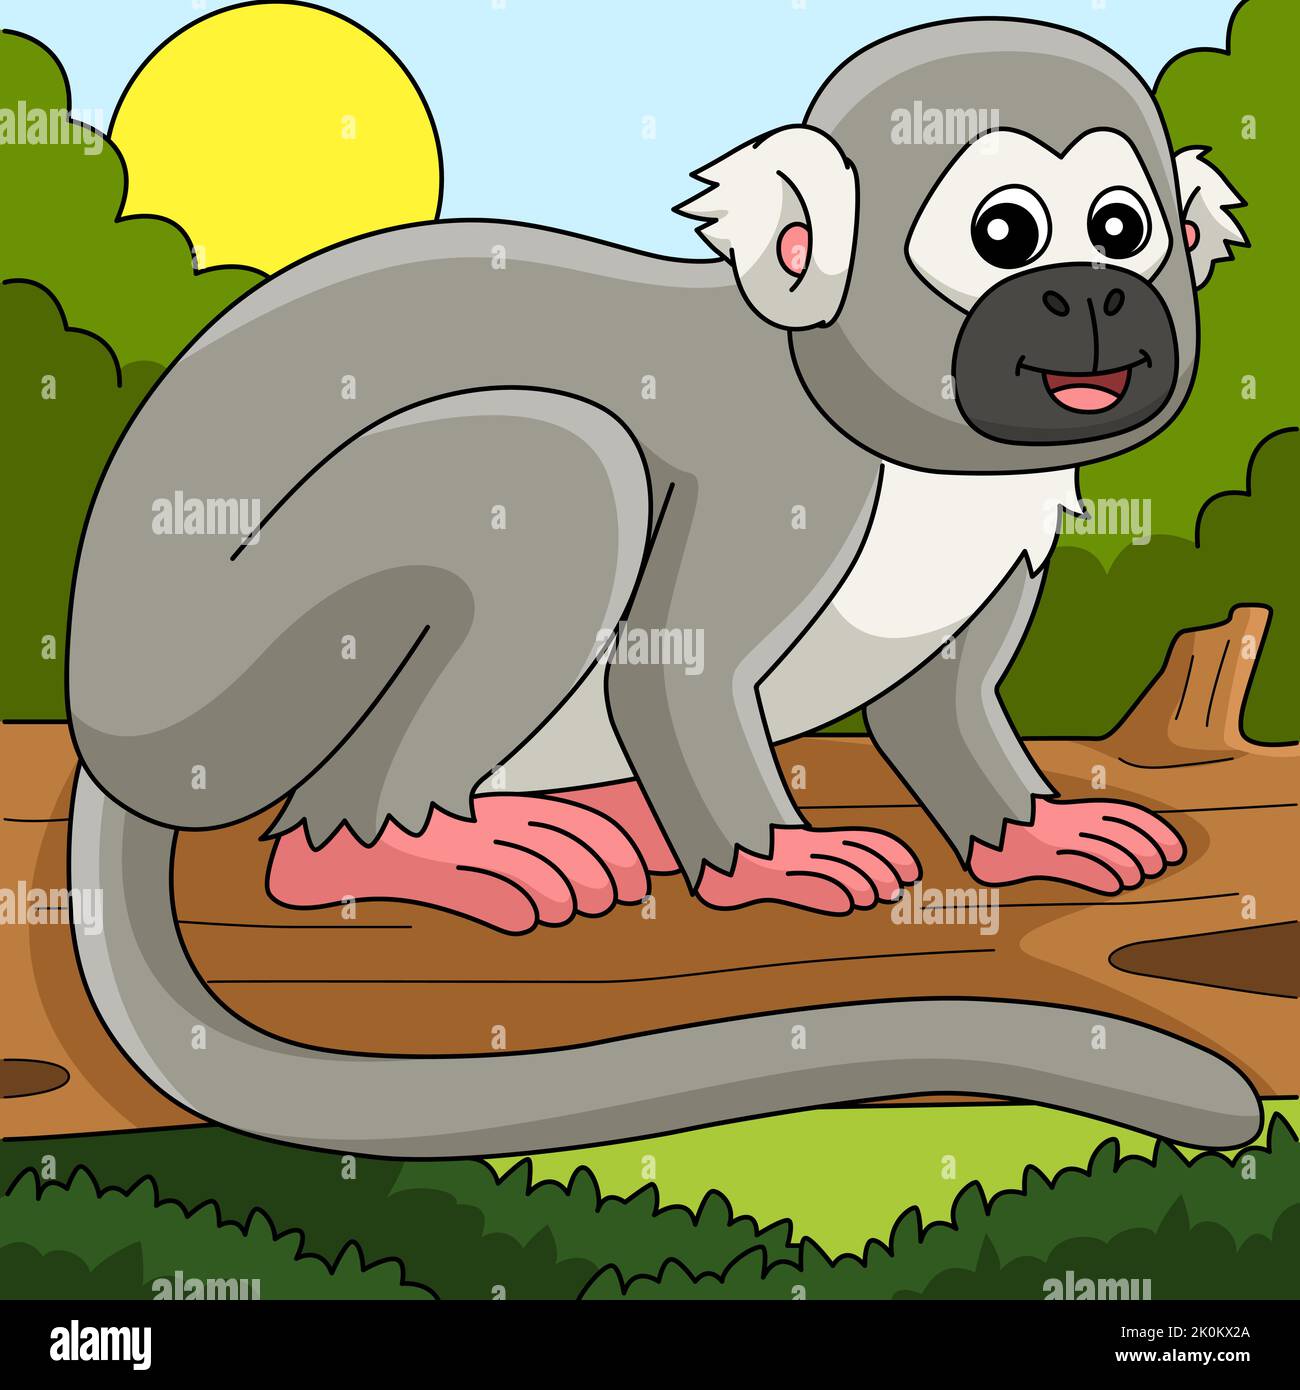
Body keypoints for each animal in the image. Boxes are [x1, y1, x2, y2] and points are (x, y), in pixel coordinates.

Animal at [65, 19, 1258, 1155]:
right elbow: (673, 667)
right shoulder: (780, 471)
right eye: (1004, 236)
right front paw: (771, 863)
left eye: (1121, 229)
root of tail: (100, 718)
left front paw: (1031, 834)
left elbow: (939, 700)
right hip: (211, 686)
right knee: (561, 467)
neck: (911, 454)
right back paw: (400, 845)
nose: (1089, 296)